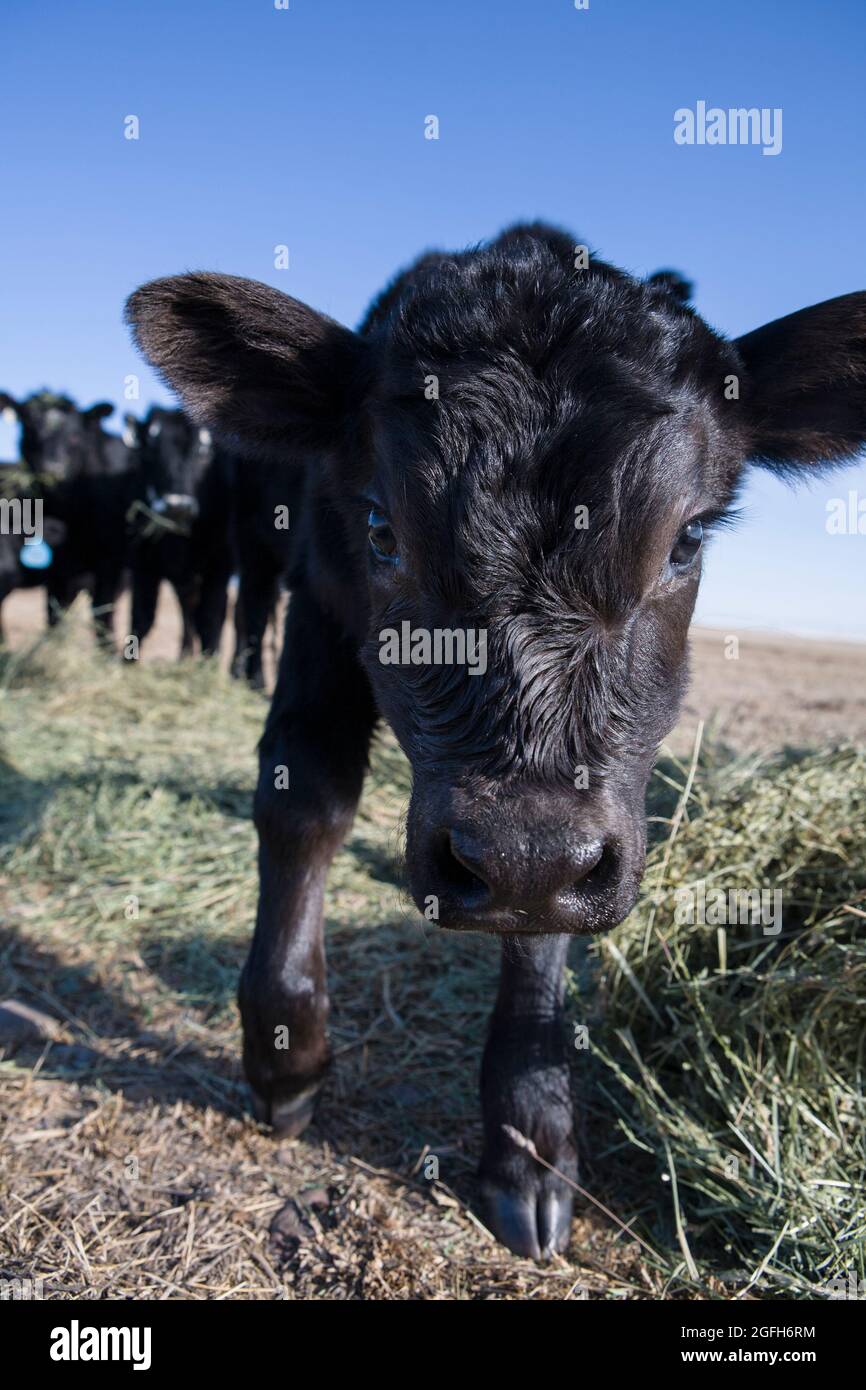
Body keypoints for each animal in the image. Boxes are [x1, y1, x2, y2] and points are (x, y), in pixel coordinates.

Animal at [129, 406, 234, 658]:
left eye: (204, 452)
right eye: (151, 451)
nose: (177, 506)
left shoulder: (220, 565)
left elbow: (210, 618)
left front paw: (209, 663)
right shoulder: (143, 560)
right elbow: (141, 617)